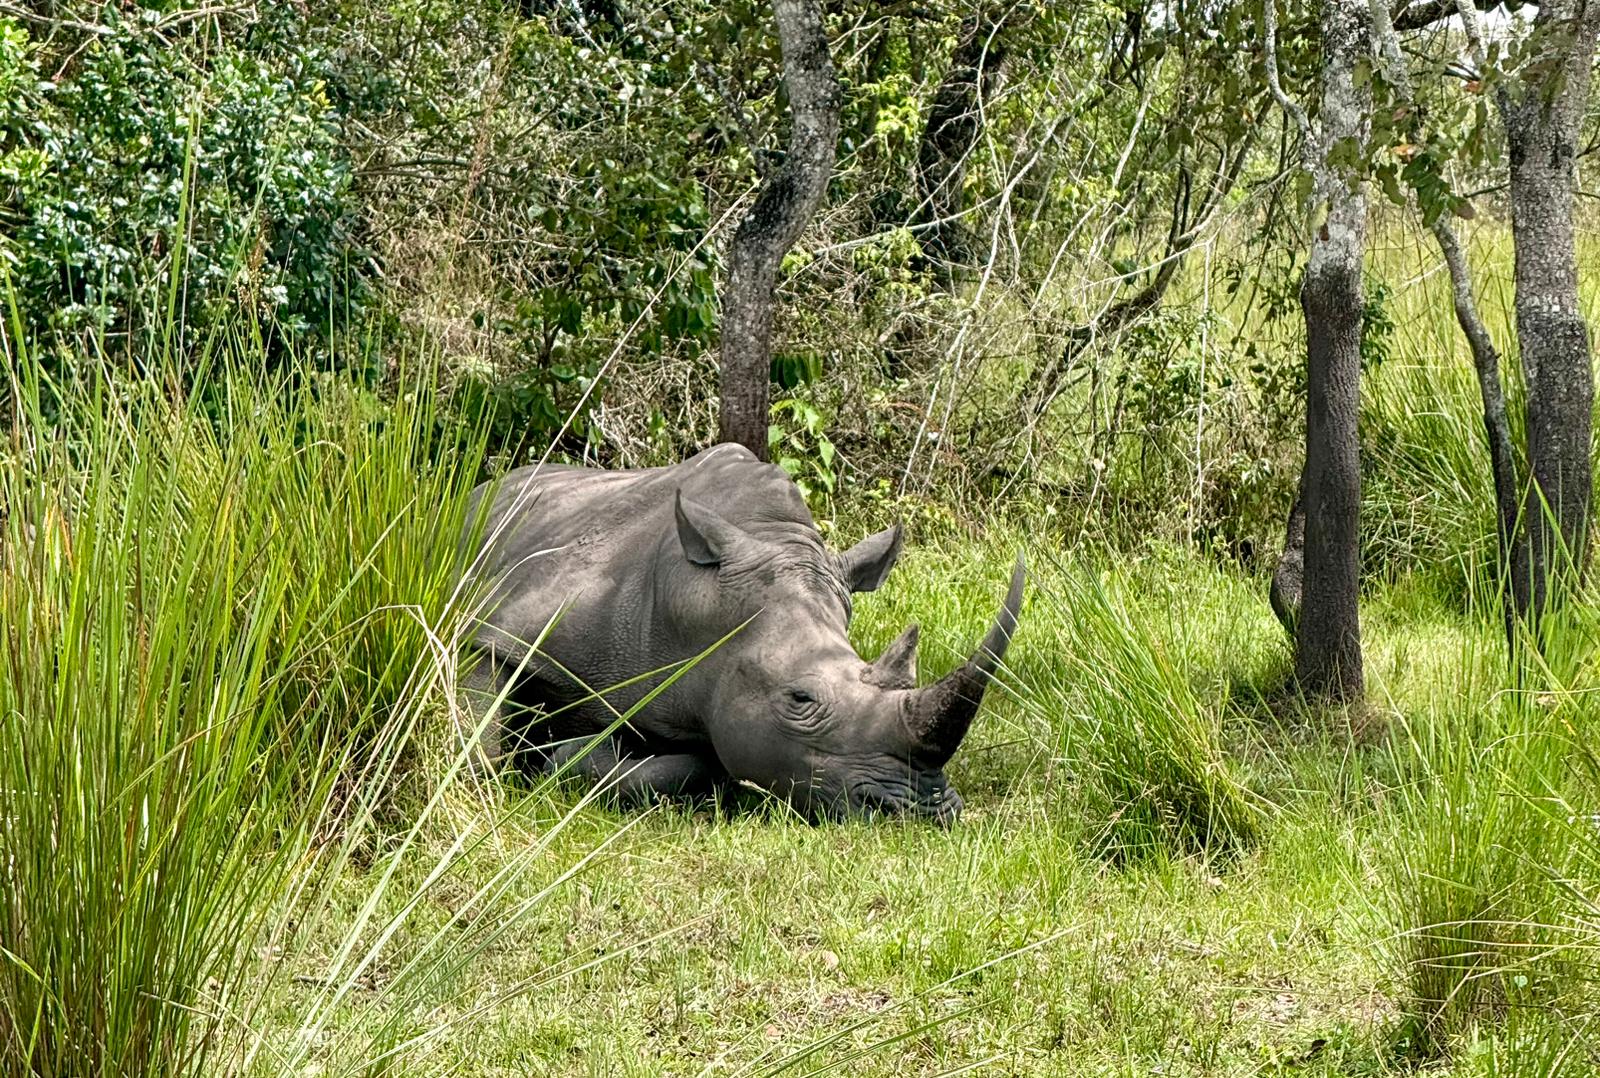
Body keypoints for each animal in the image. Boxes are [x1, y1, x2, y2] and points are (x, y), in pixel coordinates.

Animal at [458, 443, 1023, 823]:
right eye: (799, 699)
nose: (924, 810)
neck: (698, 605)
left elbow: (699, 765)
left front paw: (573, 753)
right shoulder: (507, 623)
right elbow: (478, 732)